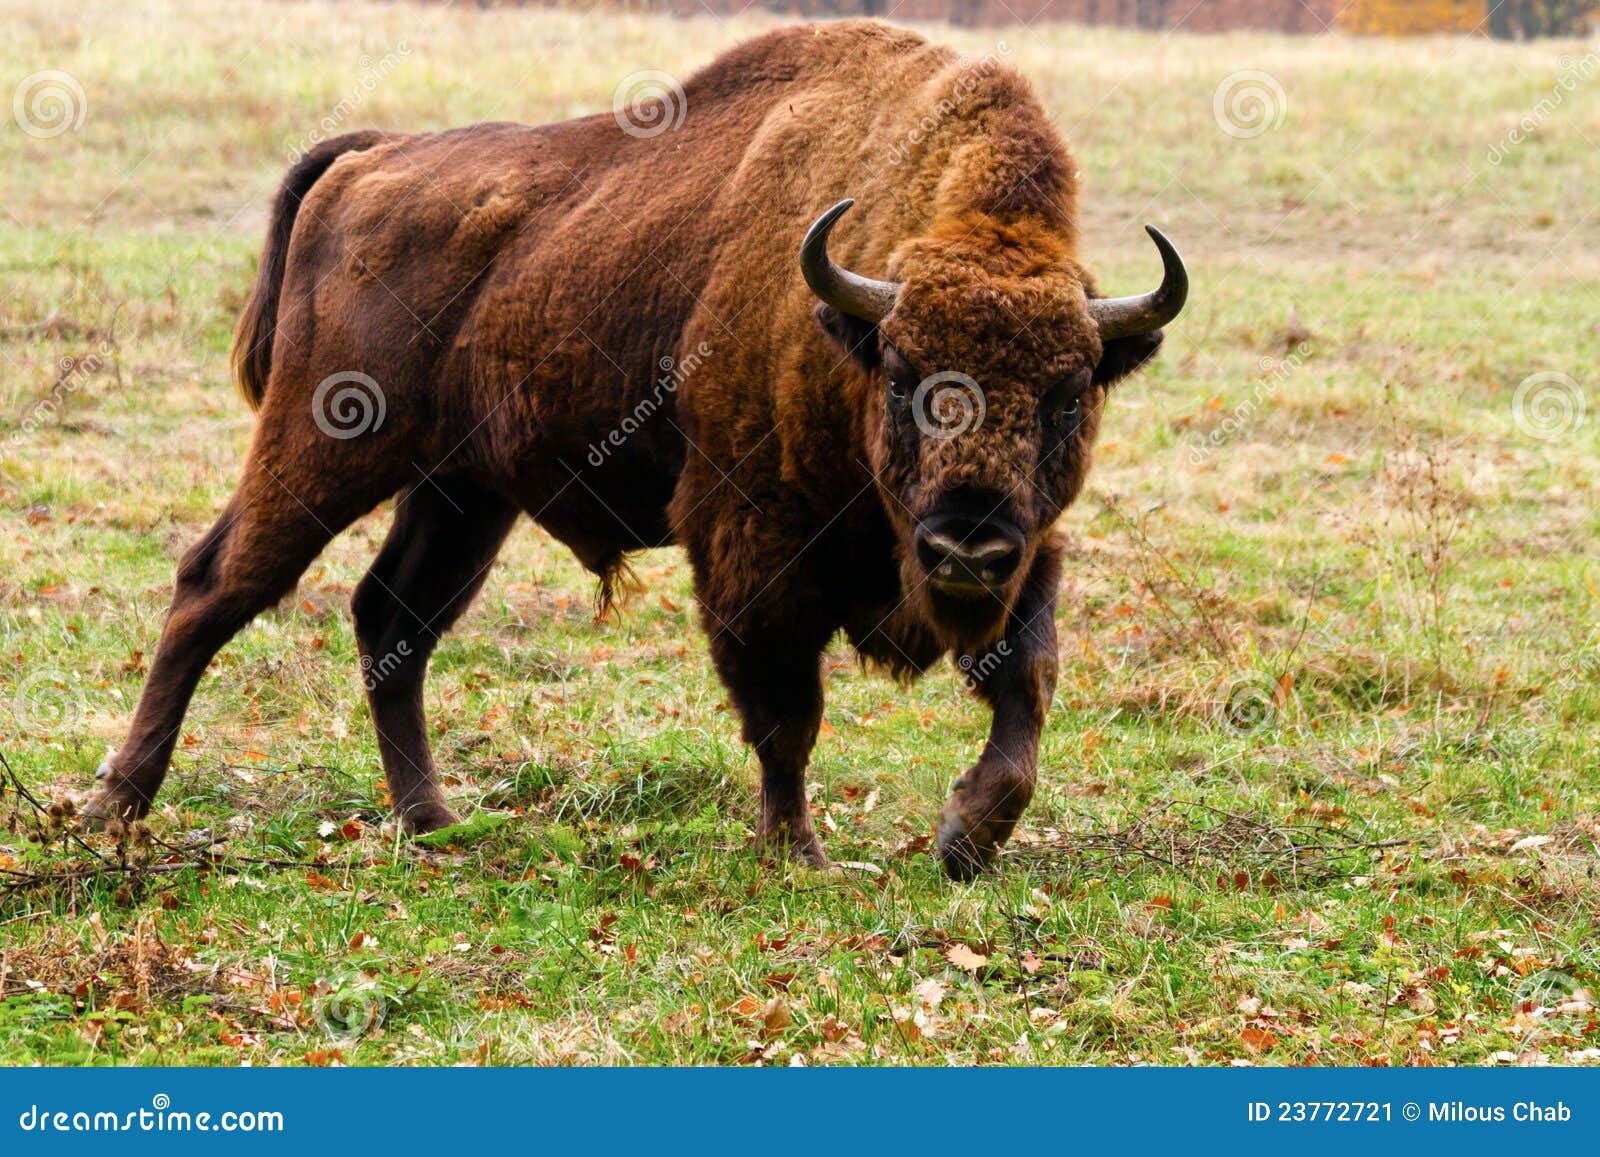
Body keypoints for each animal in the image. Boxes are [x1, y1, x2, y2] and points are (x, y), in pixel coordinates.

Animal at [86, 20, 1187, 879]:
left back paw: (435, 822)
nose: (964, 547)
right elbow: (786, 708)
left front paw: (967, 836)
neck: (848, 317)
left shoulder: (1031, 551)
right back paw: (116, 805)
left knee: (391, 618)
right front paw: (799, 852)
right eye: (907, 372)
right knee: (216, 585)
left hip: (461, 492)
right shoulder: (751, 542)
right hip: (325, 447)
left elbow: (1026, 685)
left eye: (1069, 393)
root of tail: (371, 156)